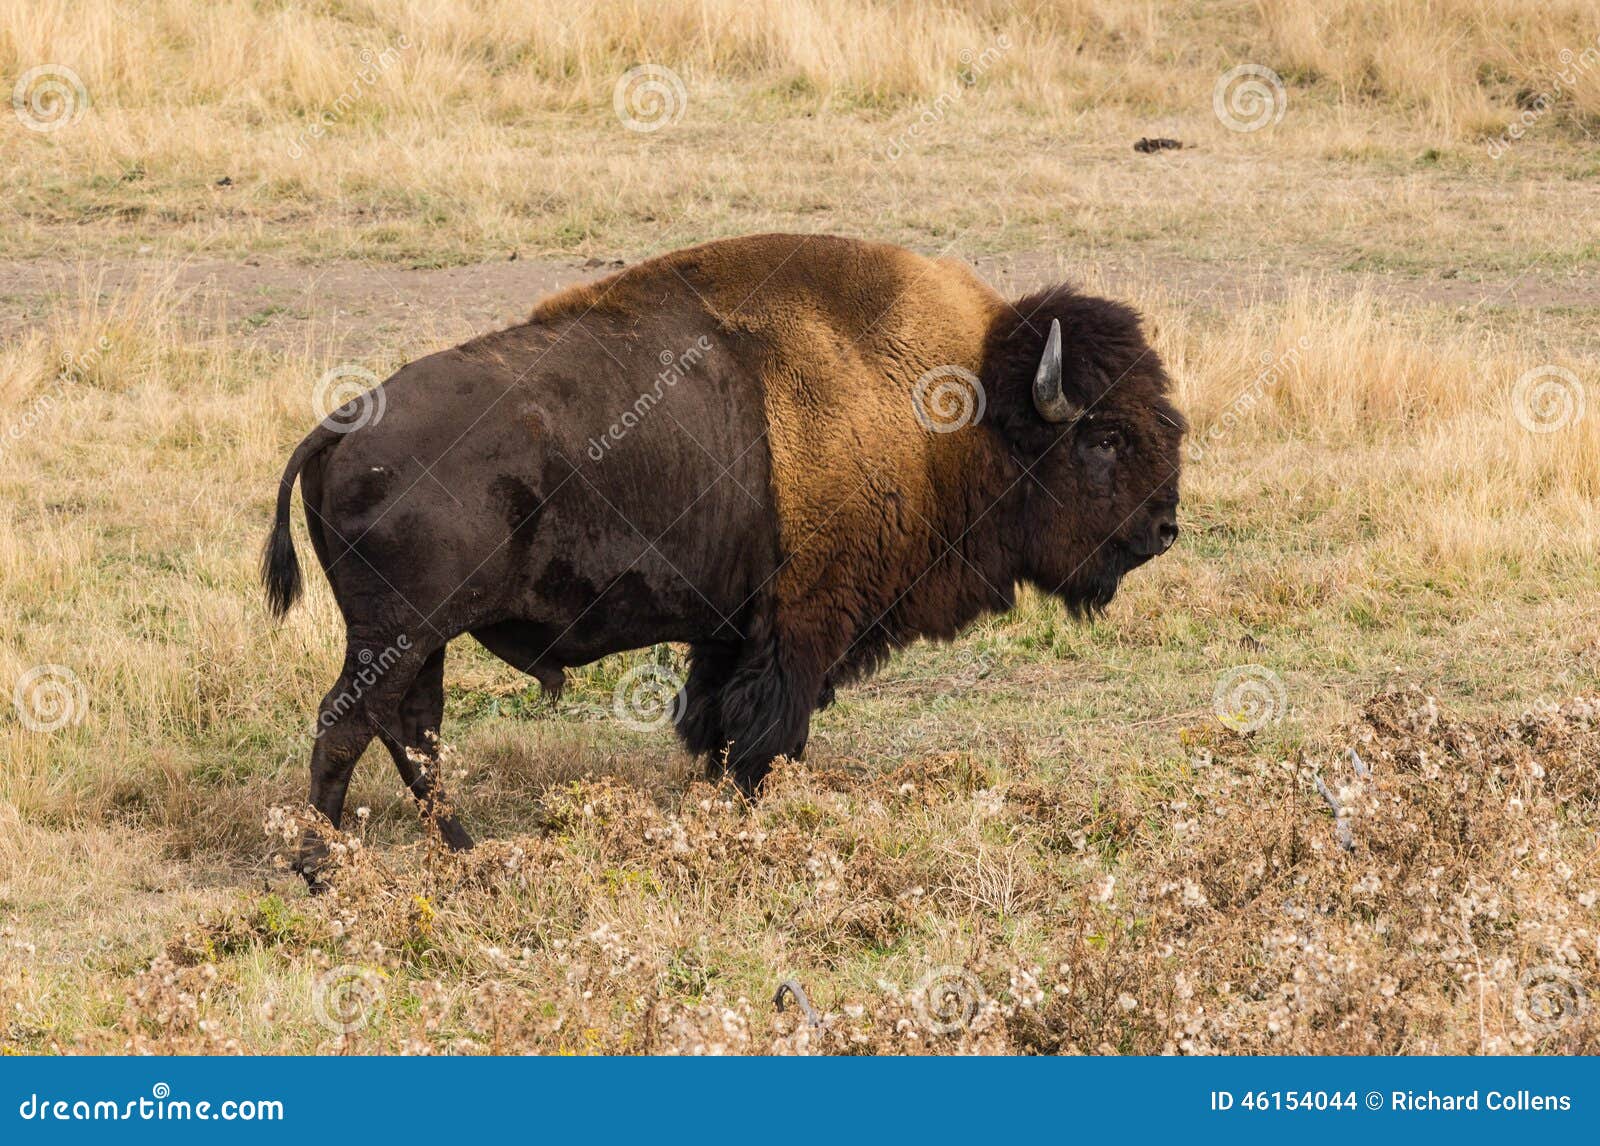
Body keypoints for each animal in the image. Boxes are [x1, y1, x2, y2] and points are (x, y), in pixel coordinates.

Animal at [263, 234, 1184, 874]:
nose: (1165, 528)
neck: (954, 414)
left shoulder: (731, 631)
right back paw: (322, 869)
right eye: (1104, 437)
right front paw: (755, 812)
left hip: (423, 640)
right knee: (350, 725)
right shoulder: (799, 627)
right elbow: (768, 730)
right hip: (400, 635)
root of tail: (337, 428)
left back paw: (464, 851)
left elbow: (712, 720)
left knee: (410, 733)